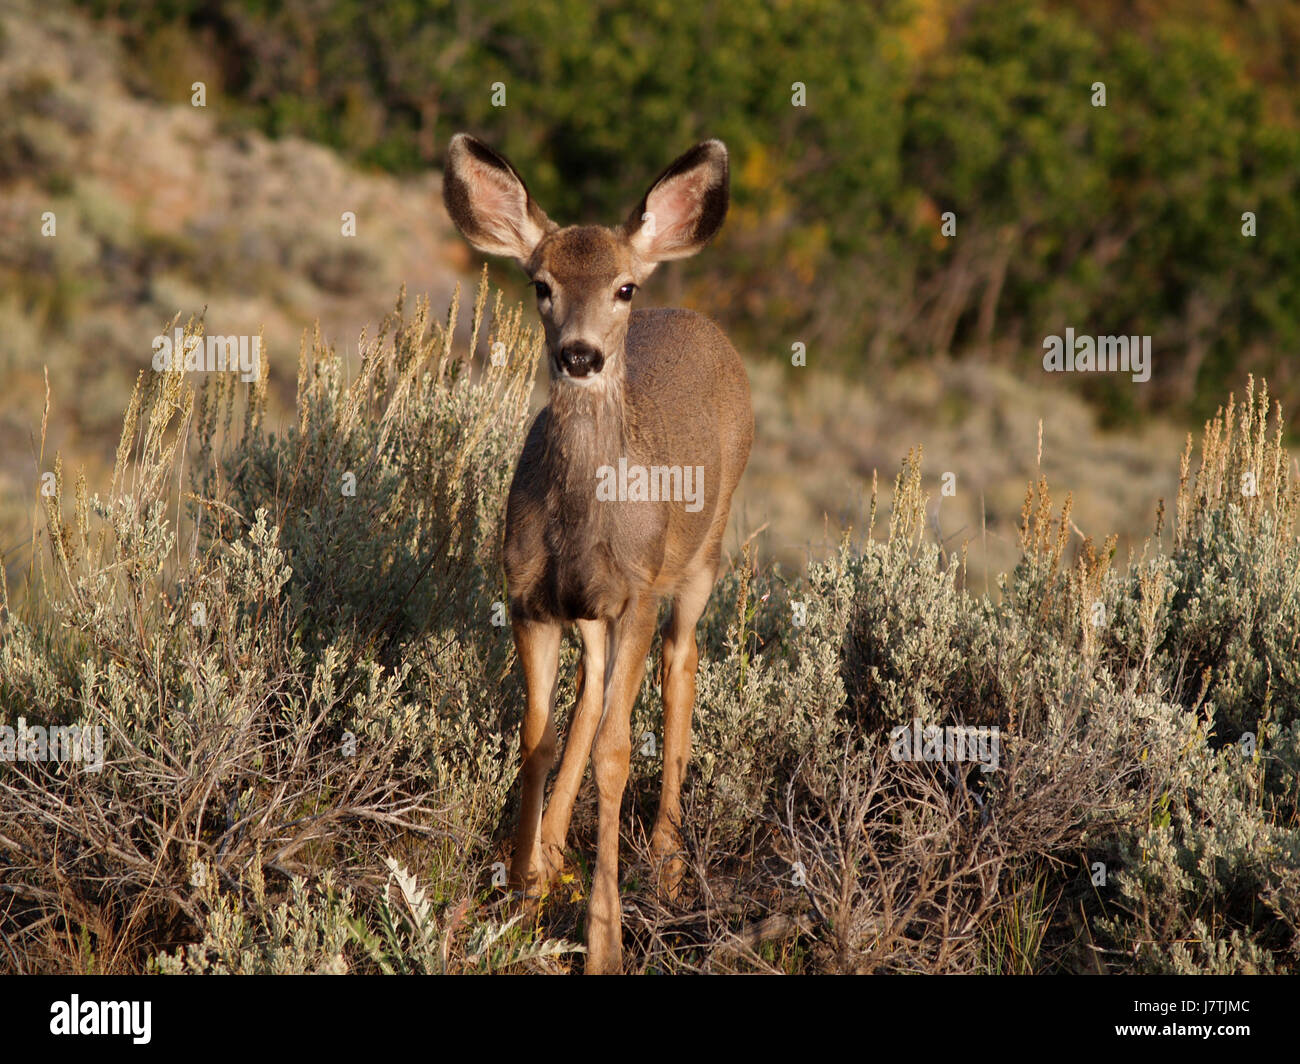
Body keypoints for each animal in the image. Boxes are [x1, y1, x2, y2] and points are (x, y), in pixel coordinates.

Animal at [442, 133, 753, 974]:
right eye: (541, 284)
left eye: (622, 288)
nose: (580, 355)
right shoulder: (528, 595)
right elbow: (537, 737)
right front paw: (521, 888)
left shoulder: (638, 590)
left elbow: (617, 750)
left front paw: (604, 940)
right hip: (592, 607)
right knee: (592, 686)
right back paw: (553, 853)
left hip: (702, 554)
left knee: (681, 664)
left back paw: (669, 861)